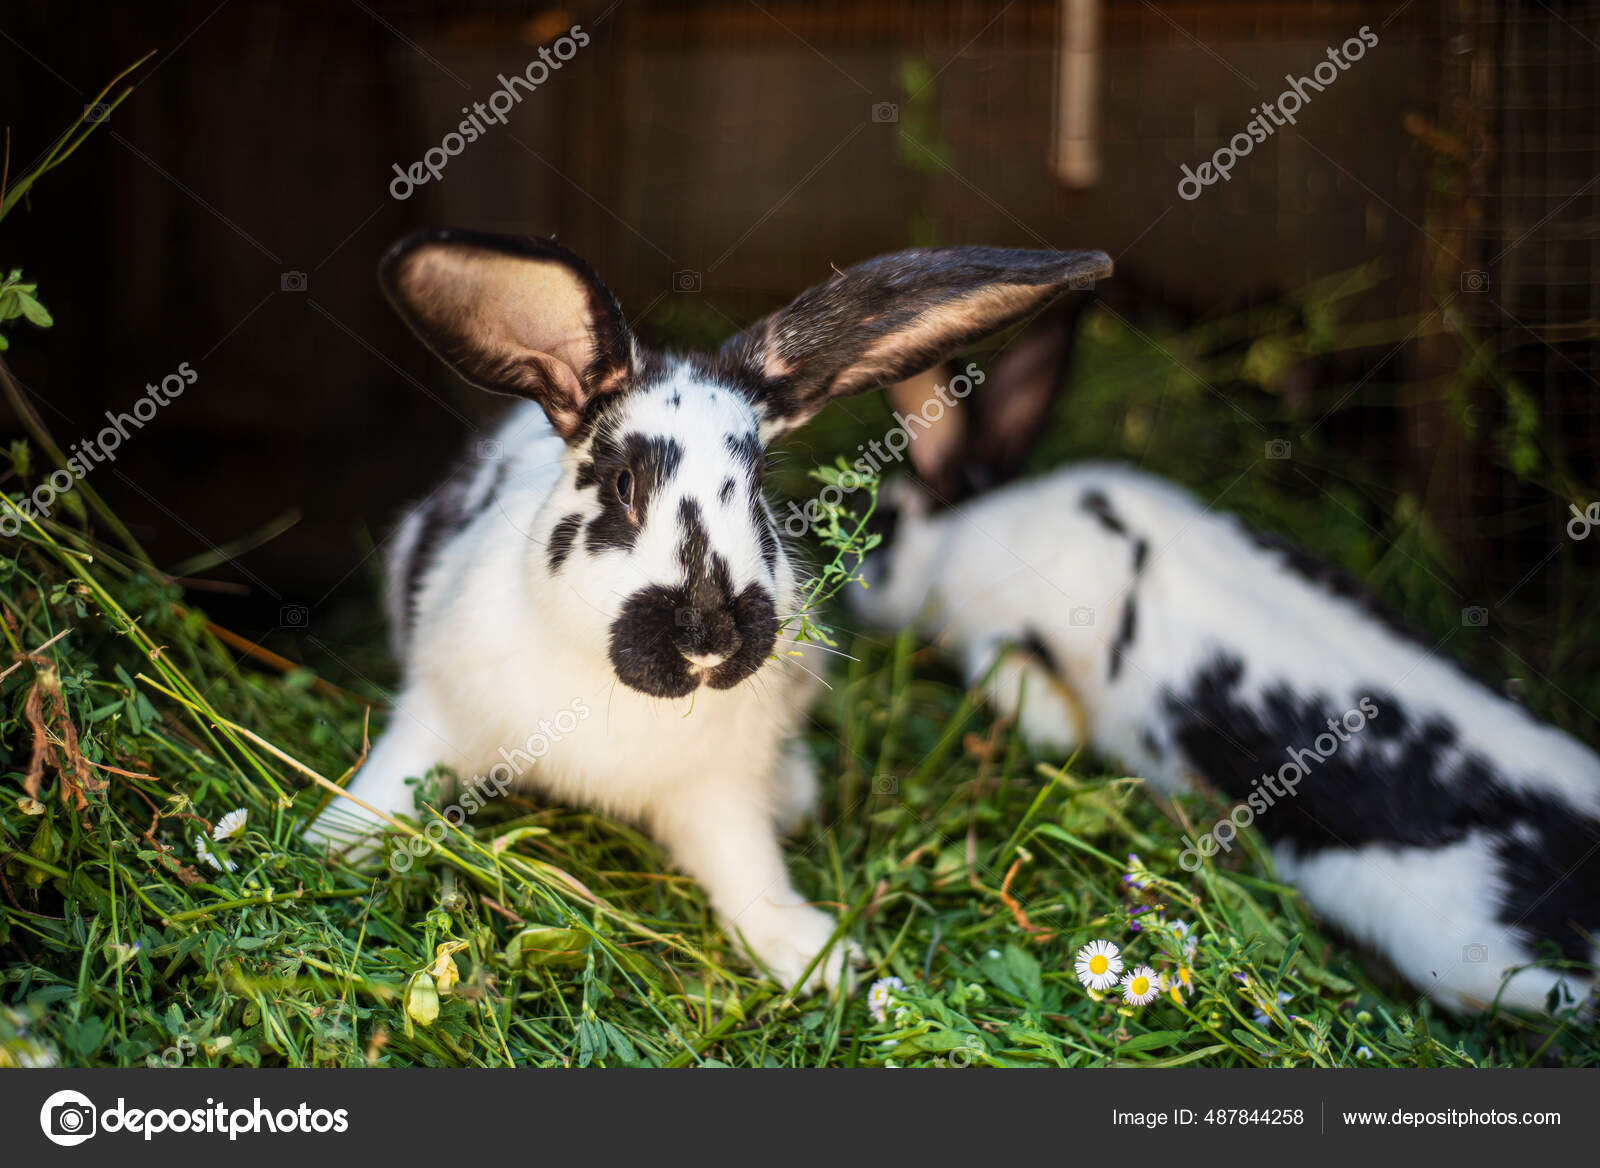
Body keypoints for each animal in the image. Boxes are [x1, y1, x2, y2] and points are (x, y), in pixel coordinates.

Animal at [305, 228, 1115, 992]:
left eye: (757, 491)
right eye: (624, 485)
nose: (709, 638)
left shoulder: (719, 792)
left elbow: (747, 867)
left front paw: (812, 957)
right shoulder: (440, 710)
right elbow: (392, 779)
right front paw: (330, 846)